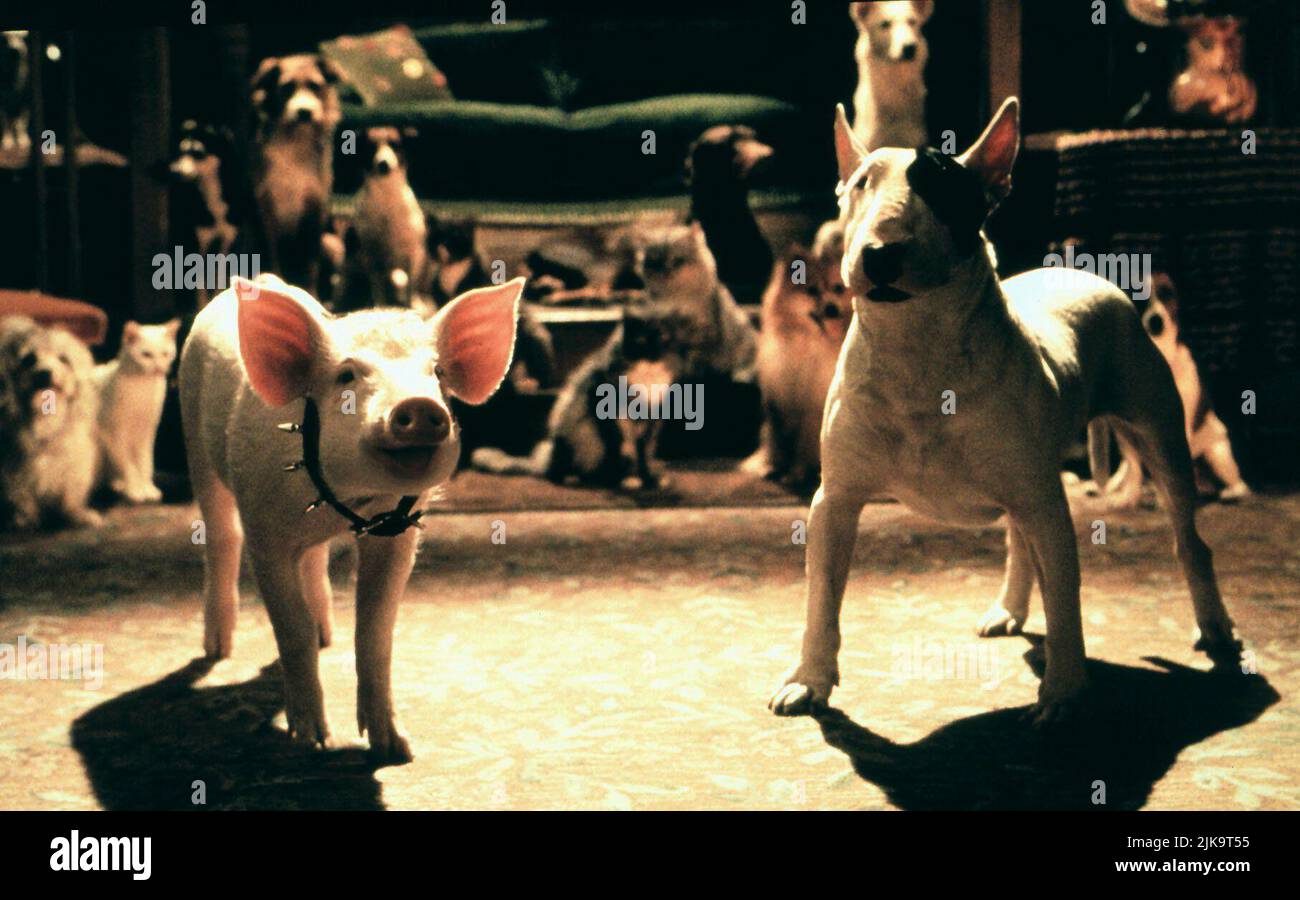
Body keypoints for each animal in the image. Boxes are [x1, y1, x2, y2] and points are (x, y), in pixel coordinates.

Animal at [179, 272, 523, 761]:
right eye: (347, 375)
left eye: (437, 374)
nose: (420, 406)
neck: (345, 498)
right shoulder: (263, 529)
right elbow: (292, 629)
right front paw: (311, 742)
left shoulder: (397, 534)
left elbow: (374, 633)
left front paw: (397, 749)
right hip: (195, 441)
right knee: (222, 537)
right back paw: (216, 650)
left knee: (314, 558)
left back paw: (328, 635)